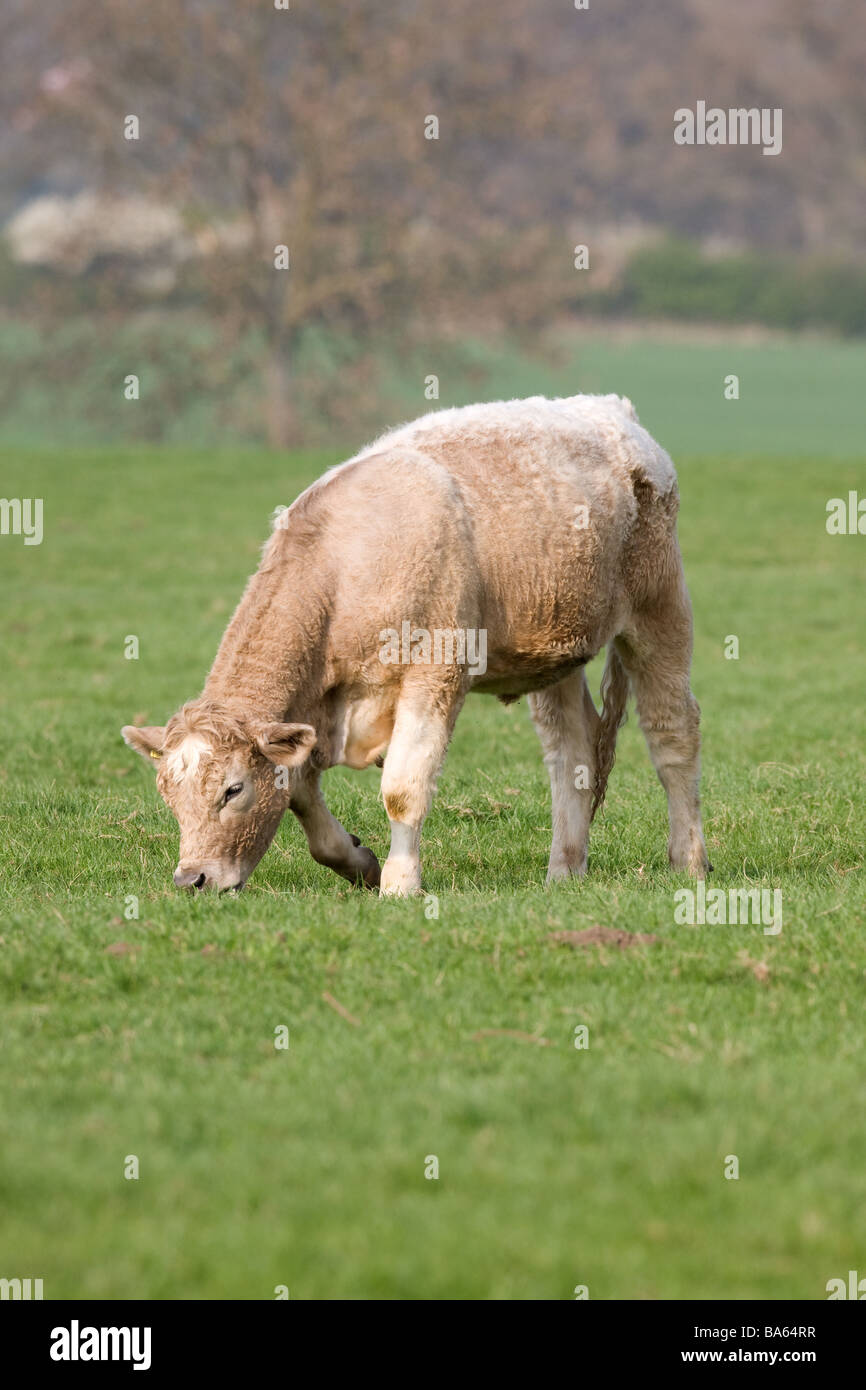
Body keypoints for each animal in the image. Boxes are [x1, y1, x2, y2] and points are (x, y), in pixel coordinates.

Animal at [122, 394, 708, 896]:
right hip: (555, 652)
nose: (191, 880)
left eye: (233, 789)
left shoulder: (435, 674)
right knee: (572, 754)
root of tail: (609, 409)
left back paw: (689, 861)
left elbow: (403, 789)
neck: (346, 566)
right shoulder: (310, 714)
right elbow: (302, 794)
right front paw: (356, 861)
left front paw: (400, 885)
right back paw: (563, 870)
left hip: (659, 611)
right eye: (168, 795)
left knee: (672, 734)